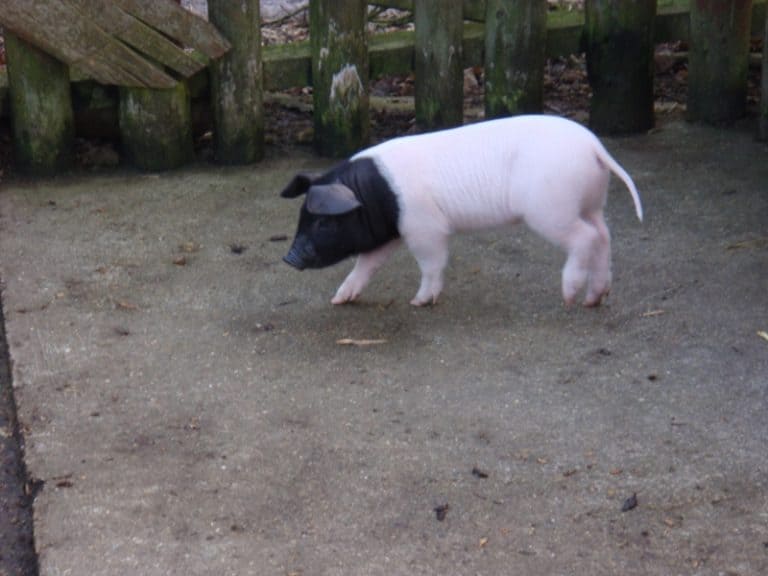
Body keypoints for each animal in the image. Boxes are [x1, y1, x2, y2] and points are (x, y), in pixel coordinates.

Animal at [281, 115, 643, 307]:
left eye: (323, 223)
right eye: (302, 217)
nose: (289, 258)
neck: (372, 195)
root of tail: (594, 147)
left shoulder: (425, 227)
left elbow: (432, 263)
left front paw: (419, 302)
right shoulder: (391, 233)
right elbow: (367, 264)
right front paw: (339, 299)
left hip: (551, 208)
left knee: (585, 238)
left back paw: (569, 297)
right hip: (591, 203)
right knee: (603, 236)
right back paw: (594, 298)